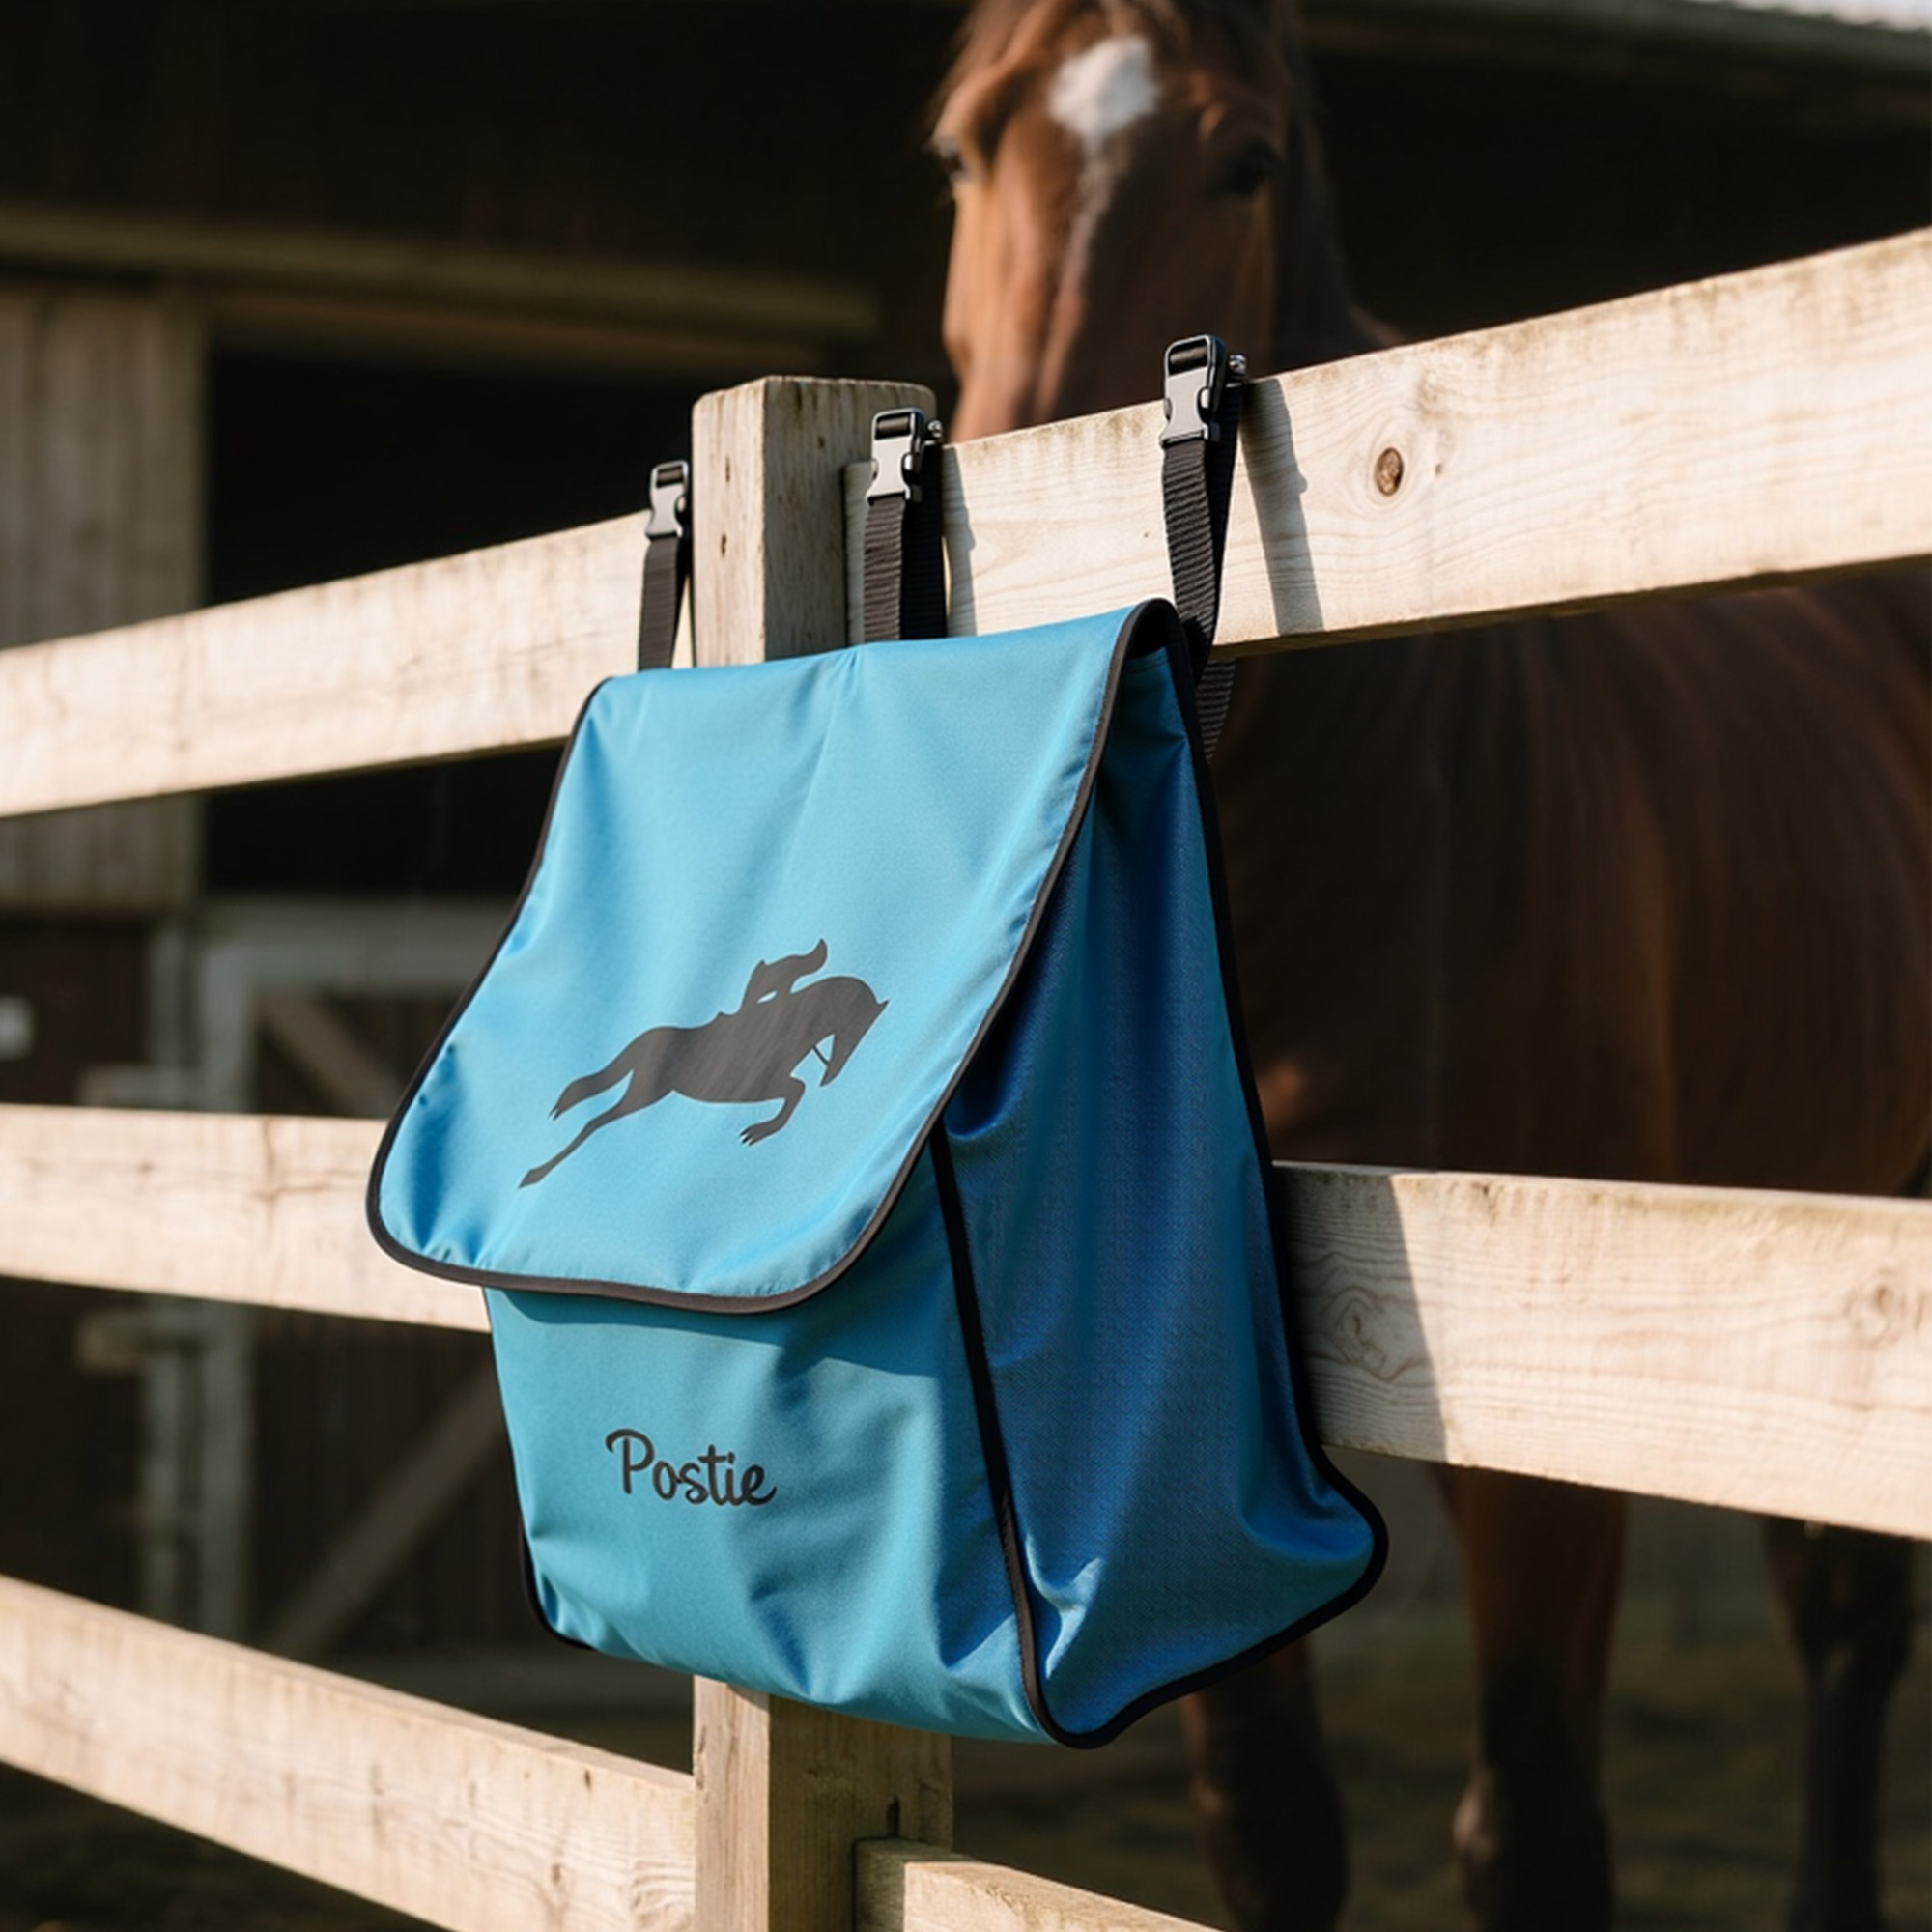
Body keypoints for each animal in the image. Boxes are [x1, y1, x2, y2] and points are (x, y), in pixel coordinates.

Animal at [932, 4, 1929, 1927]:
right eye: (968, 149)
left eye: (1243, 158)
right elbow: (1269, 1823)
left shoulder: (1555, 1423)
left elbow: (1530, 1833)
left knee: (1850, 1623)